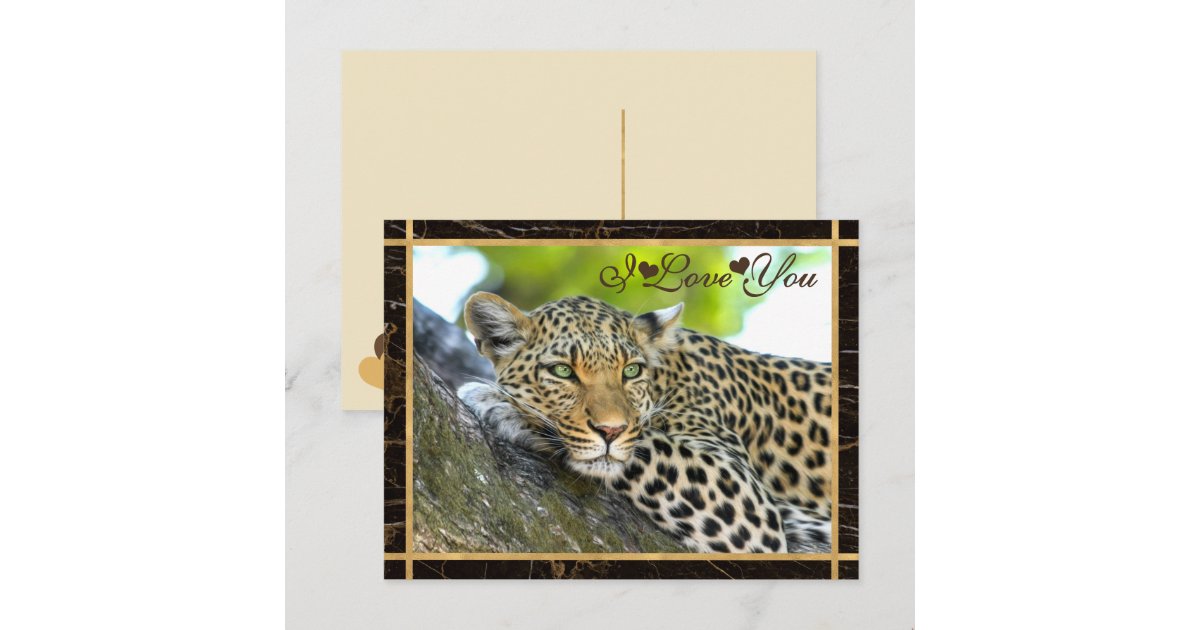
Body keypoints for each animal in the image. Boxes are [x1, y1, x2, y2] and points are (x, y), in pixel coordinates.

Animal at [456, 292, 834, 553]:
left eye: (631, 371)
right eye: (563, 371)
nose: (610, 431)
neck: (668, 376)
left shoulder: (745, 499)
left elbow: (644, 443)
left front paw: (502, 405)